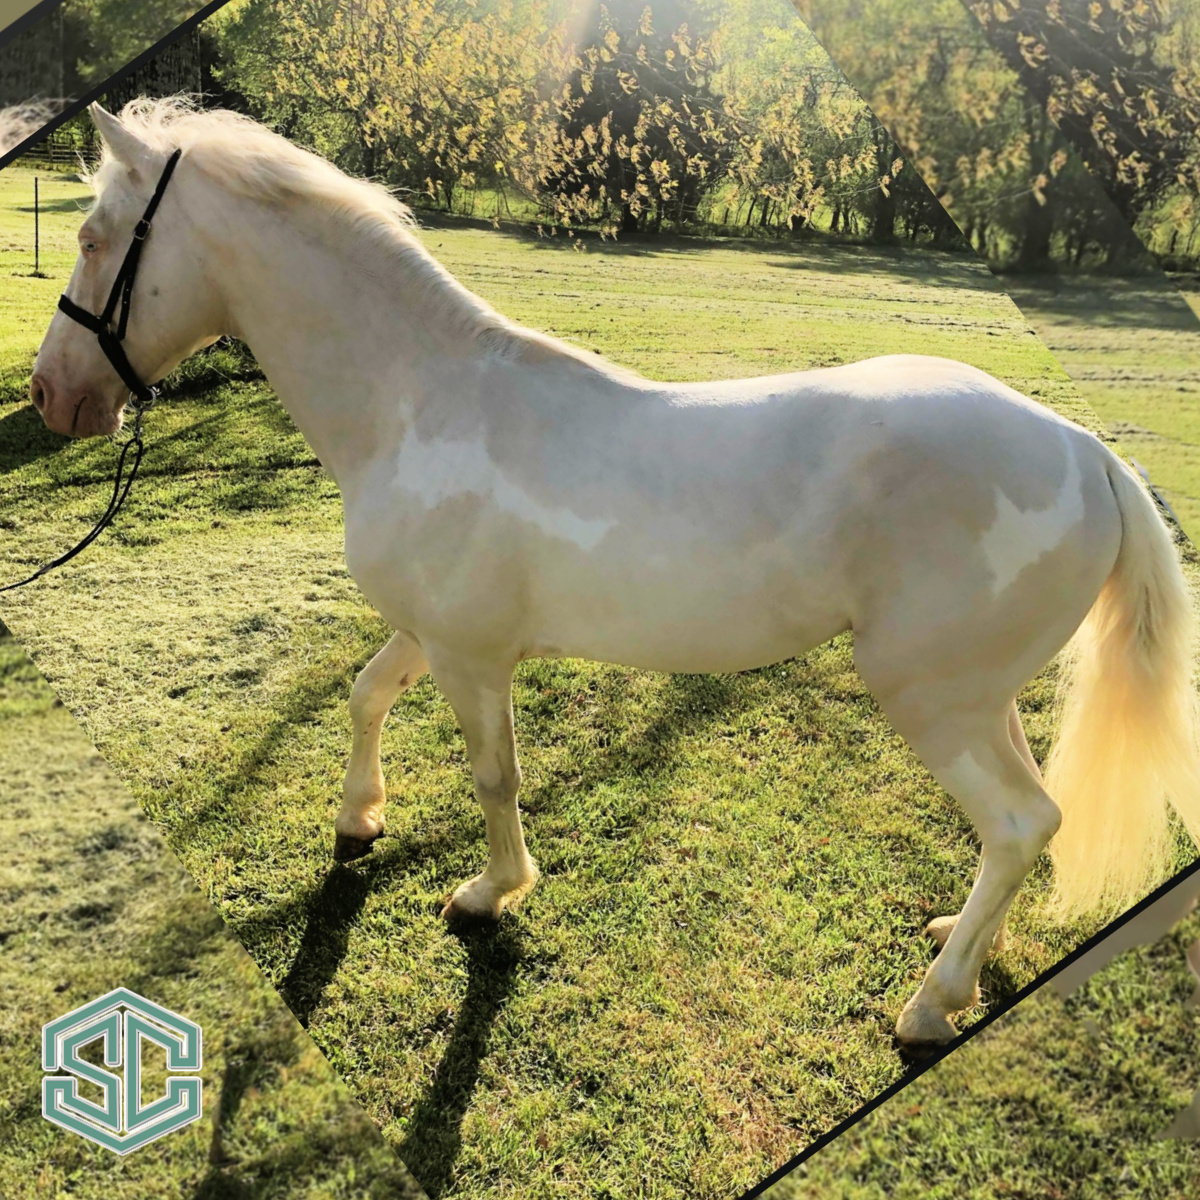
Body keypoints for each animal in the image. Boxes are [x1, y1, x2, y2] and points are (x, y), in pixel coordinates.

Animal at [29, 99, 1200, 1049]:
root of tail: (1087, 451)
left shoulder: (471, 657)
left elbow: (494, 775)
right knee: (1033, 820)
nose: (52, 396)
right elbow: (365, 695)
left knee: (1016, 826)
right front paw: (360, 820)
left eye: (91, 237)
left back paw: (926, 1006)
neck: (423, 399)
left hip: (932, 699)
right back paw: (959, 946)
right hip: (981, 696)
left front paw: (489, 893)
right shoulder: (431, 631)